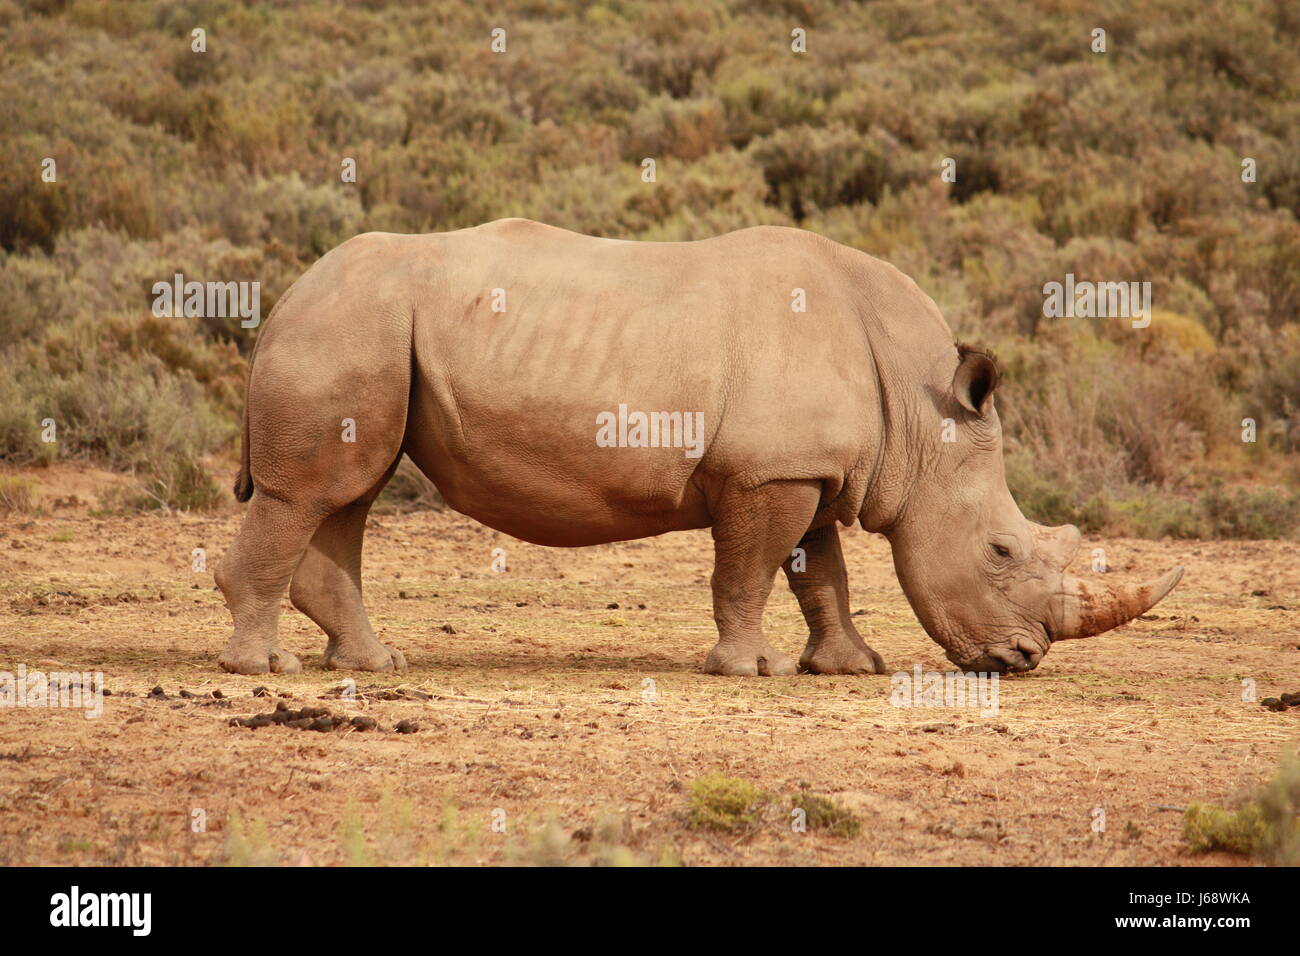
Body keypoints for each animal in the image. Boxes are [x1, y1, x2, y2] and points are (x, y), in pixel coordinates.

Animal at [214, 219, 1183, 677]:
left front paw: (849, 668)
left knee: (348, 496)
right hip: (349, 328)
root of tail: (285, 297)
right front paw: (749, 670)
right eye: (1001, 550)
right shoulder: (765, 472)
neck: (921, 411)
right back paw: (267, 668)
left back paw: (373, 664)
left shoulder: (807, 467)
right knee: (313, 496)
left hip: (367, 332)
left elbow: (821, 572)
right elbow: (749, 570)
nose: (1024, 660)